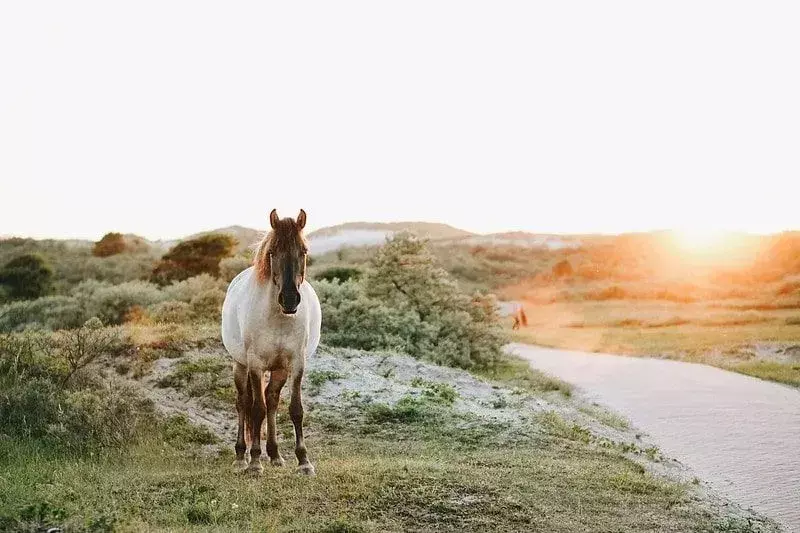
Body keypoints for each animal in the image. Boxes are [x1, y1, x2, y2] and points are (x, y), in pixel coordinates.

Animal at [220, 208, 320, 474]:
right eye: (273, 251)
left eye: (303, 251)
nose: (290, 300)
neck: (278, 318)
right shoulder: (255, 365)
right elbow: (257, 410)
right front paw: (255, 462)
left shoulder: (296, 364)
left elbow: (295, 410)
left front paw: (303, 461)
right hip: (240, 365)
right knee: (244, 402)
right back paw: (241, 456)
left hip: (279, 370)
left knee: (273, 400)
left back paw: (275, 454)